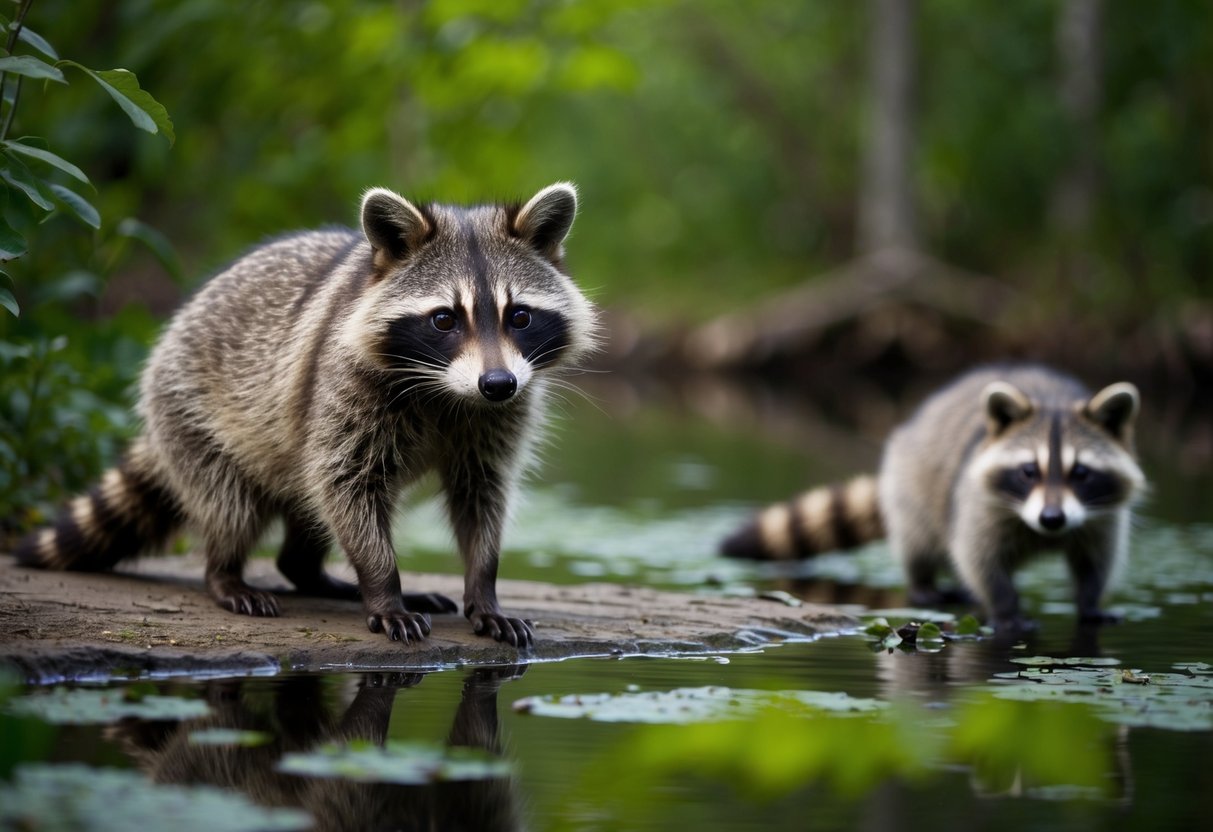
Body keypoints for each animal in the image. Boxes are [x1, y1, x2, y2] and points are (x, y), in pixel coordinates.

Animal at [15, 183, 598, 647]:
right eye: (443, 320)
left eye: (519, 316)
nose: (496, 384)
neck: (448, 391)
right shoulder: (343, 387)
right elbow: (346, 484)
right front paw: (384, 587)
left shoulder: (501, 414)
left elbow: (482, 493)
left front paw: (484, 587)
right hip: (188, 406)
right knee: (232, 503)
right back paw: (226, 573)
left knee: (306, 503)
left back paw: (311, 572)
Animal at [722, 365, 1146, 631]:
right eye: (1029, 471)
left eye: (1081, 472)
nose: (1052, 518)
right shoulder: (979, 502)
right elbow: (980, 558)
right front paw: (1006, 607)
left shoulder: (1102, 516)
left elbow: (1097, 559)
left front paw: (1090, 602)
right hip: (910, 480)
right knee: (918, 540)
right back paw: (923, 582)